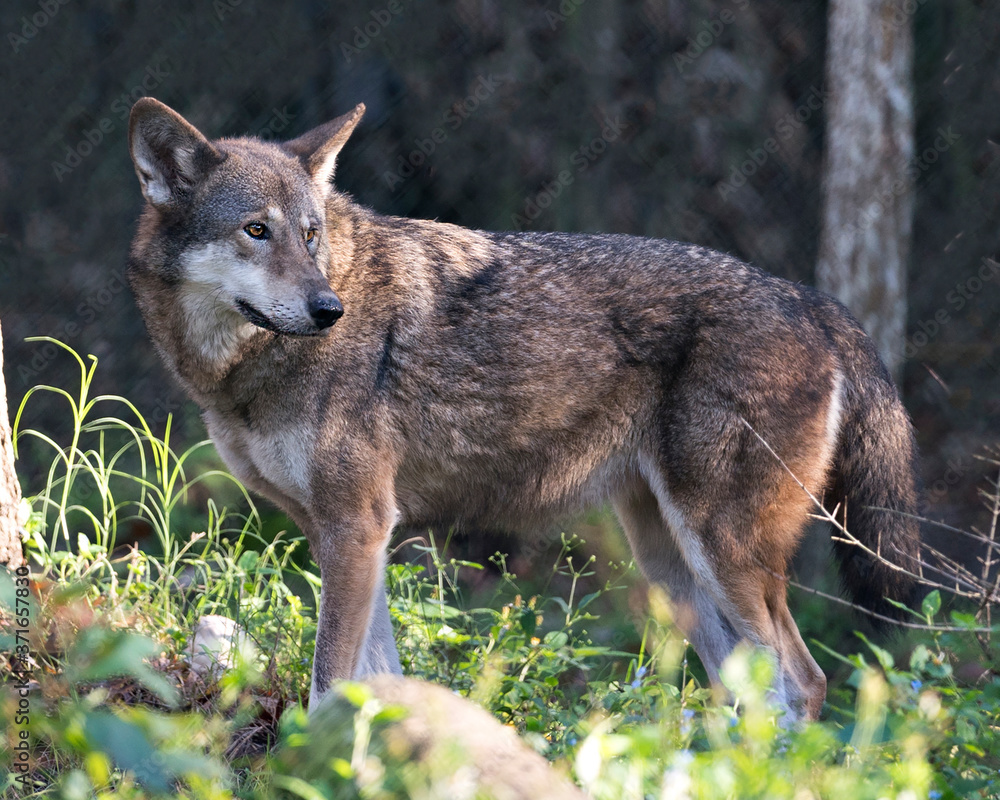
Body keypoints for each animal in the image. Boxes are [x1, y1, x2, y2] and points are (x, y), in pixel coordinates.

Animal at [127, 98, 921, 720]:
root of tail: (811, 300)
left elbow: (330, 684)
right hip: (672, 567)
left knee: (803, 684)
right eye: (256, 230)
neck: (240, 374)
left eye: (310, 233)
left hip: (721, 553)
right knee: (746, 691)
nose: (328, 309)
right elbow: (379, 682)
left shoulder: (357, 526)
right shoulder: (353, 533)